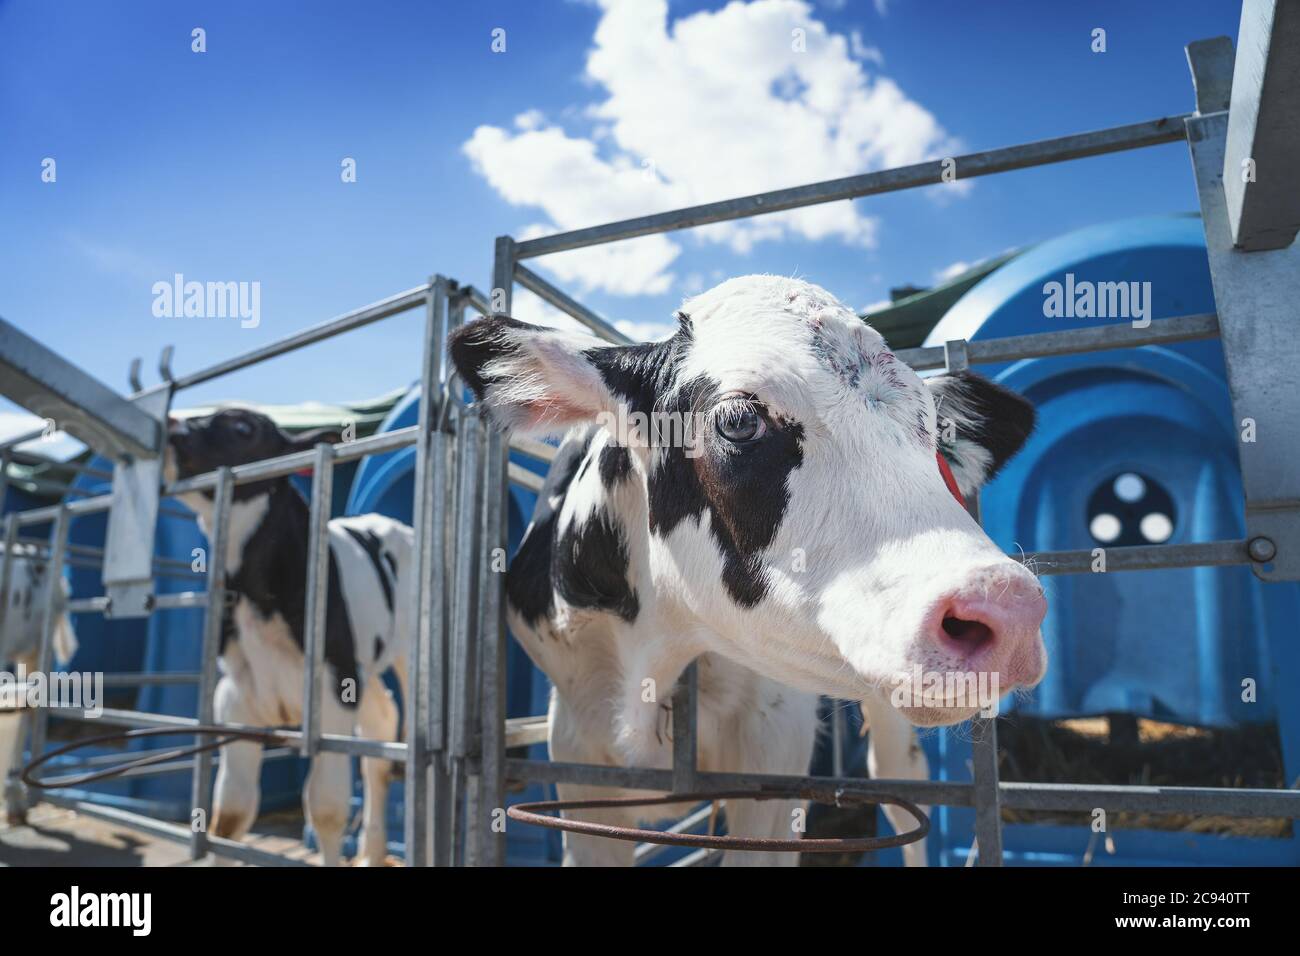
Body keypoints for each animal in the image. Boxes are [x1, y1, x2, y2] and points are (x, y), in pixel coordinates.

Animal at [165, 408, 412, 866]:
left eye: (243, 427)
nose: (172, 425)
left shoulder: (332, 694)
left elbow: (326, 808)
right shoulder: (236, 699)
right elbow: (231, 815)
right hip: (361, 669)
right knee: (381, 725)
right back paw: (372, 852)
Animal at [449, 274, 1046, 866]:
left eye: (934, 429)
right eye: (738, 421)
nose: (1008, 606)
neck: (657, 658)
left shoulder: (774, 753)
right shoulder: (575, 749)